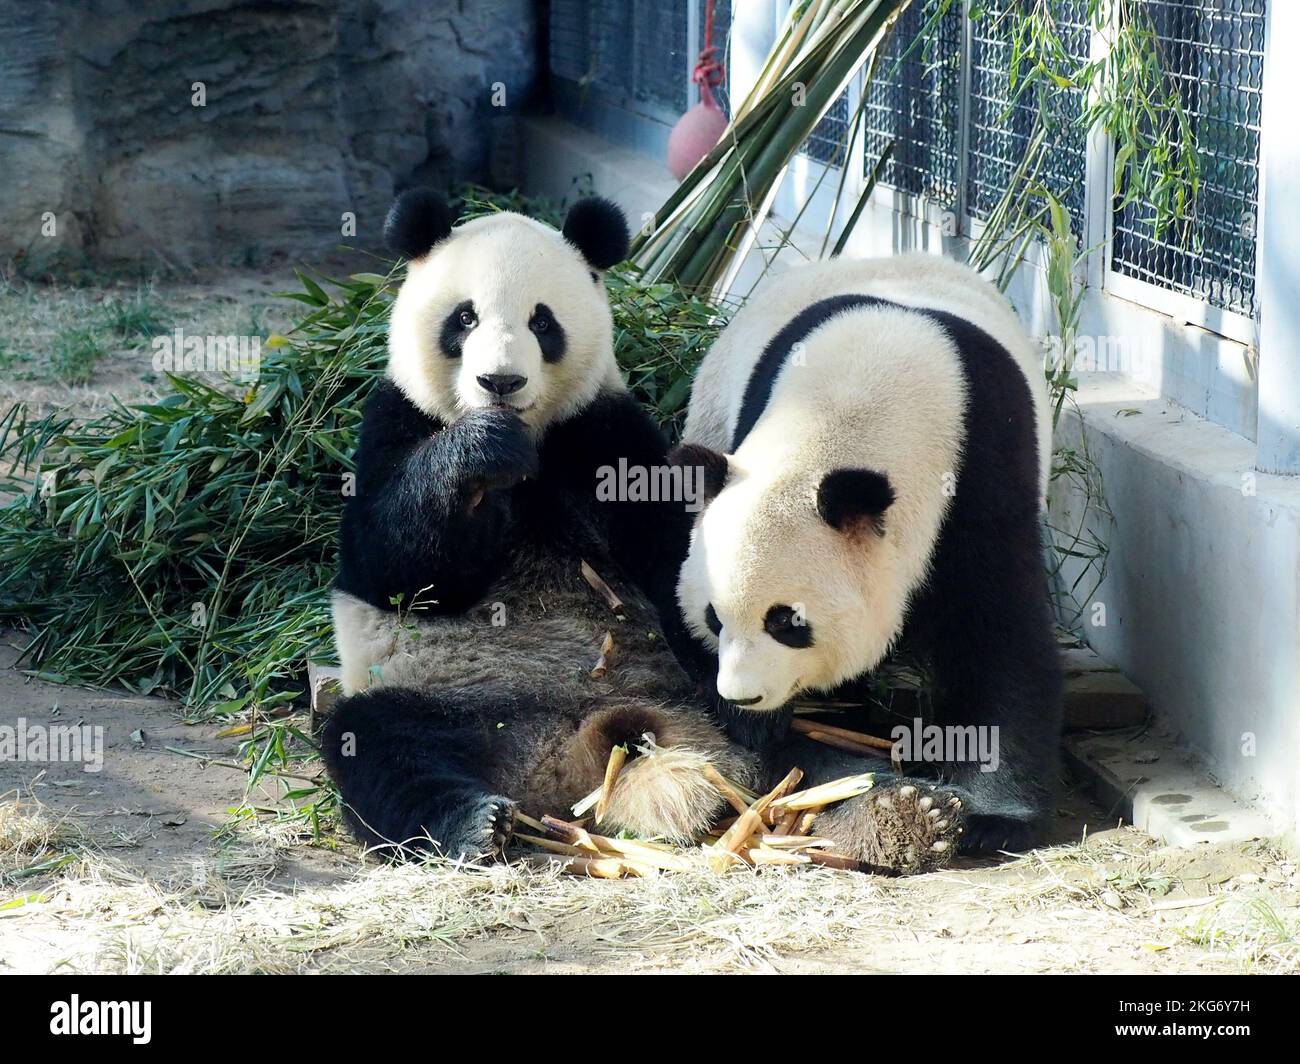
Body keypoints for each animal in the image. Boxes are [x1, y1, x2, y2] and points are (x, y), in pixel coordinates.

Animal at [322, 189, 756, 861]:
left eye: (542, 323)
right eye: (465, 319)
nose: (500, 382)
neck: (531, 439)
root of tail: (566, 754)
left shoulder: (603, 429)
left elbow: (674, 549)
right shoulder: (395, 418)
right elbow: (389, 567)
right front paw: (478, 453)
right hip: (446, 700)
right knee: (376, 745)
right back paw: (473, 823)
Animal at [671, 253, 1063, 872]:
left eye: (787, 622)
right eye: (714, 618)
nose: (744, 694)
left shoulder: (987, 470)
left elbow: (1002, 635)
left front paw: (991, 817)